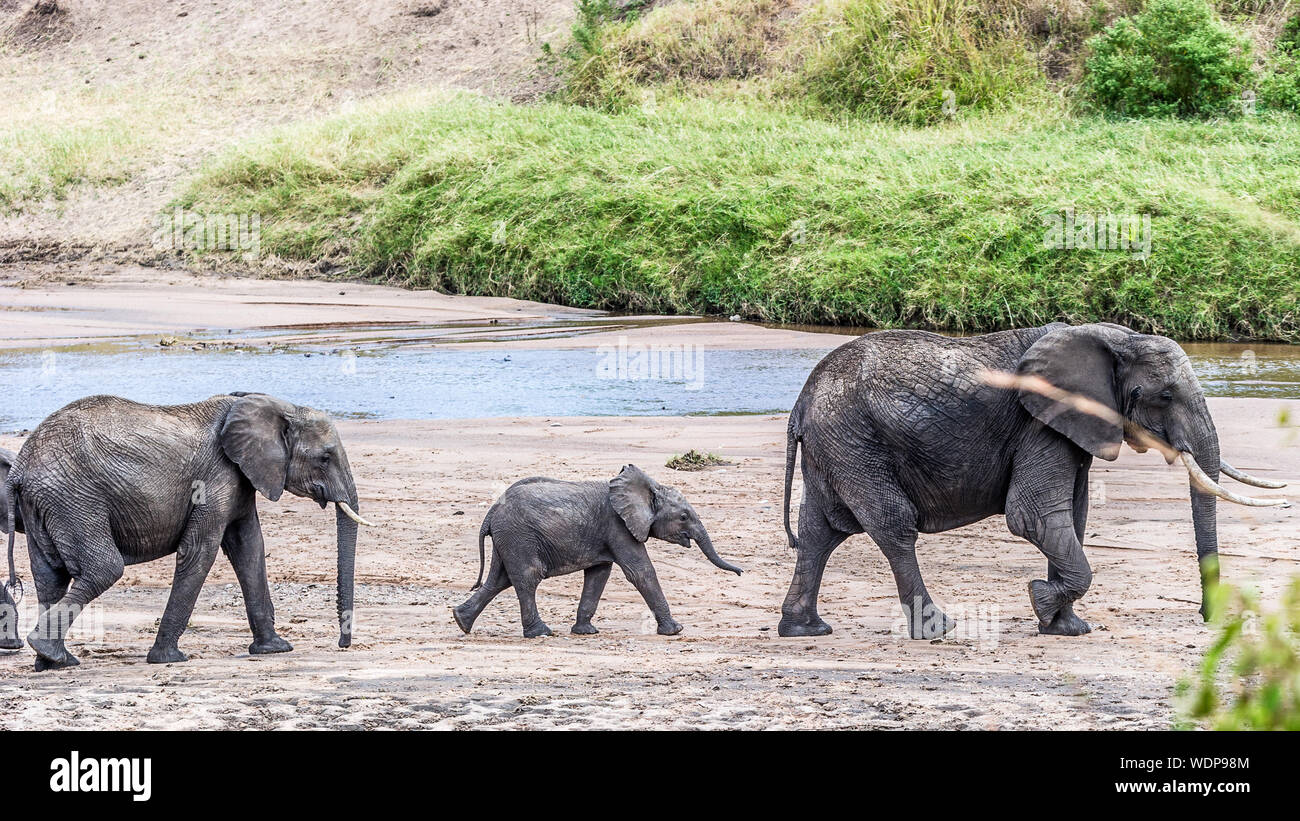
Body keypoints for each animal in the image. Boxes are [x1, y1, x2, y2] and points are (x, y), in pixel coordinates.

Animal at [1, 392, 371, 670]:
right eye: (325, 458)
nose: (343, 644)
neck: (274, 405)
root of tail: (20, 471)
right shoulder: (215, 478)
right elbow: (200, 551)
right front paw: (168, 659)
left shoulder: (240, 478)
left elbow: (249, 548)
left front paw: (275, 649)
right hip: (74, 499)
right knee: (104, 568)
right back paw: (49, 652)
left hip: (45, 505)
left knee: (50, 576)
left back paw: (54, 662)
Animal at [452, 465, 743, 638]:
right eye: (683, 517)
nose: (740, 572)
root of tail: (492, 511)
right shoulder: (618, 526)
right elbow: (641, 572)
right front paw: (675, 630)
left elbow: (598, 576)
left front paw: (586, 632)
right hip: (519, 536)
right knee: (527, 577)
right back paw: (541, 633)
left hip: (509, 539)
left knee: (499, 580)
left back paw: (461, 622)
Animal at [777, 322, 1287, 640]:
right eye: (1164, 396)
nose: (1208, 618)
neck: (1112, 337)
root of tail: (801, 402)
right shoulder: (1040, 423)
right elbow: (1033, 516)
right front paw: (1041, 602)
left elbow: (1073, 517)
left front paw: (1066, 628)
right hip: (854, 440)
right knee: (892, 524)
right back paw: (938, 630)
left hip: (837, 446)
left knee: (820, 530)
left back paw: (805, 630)